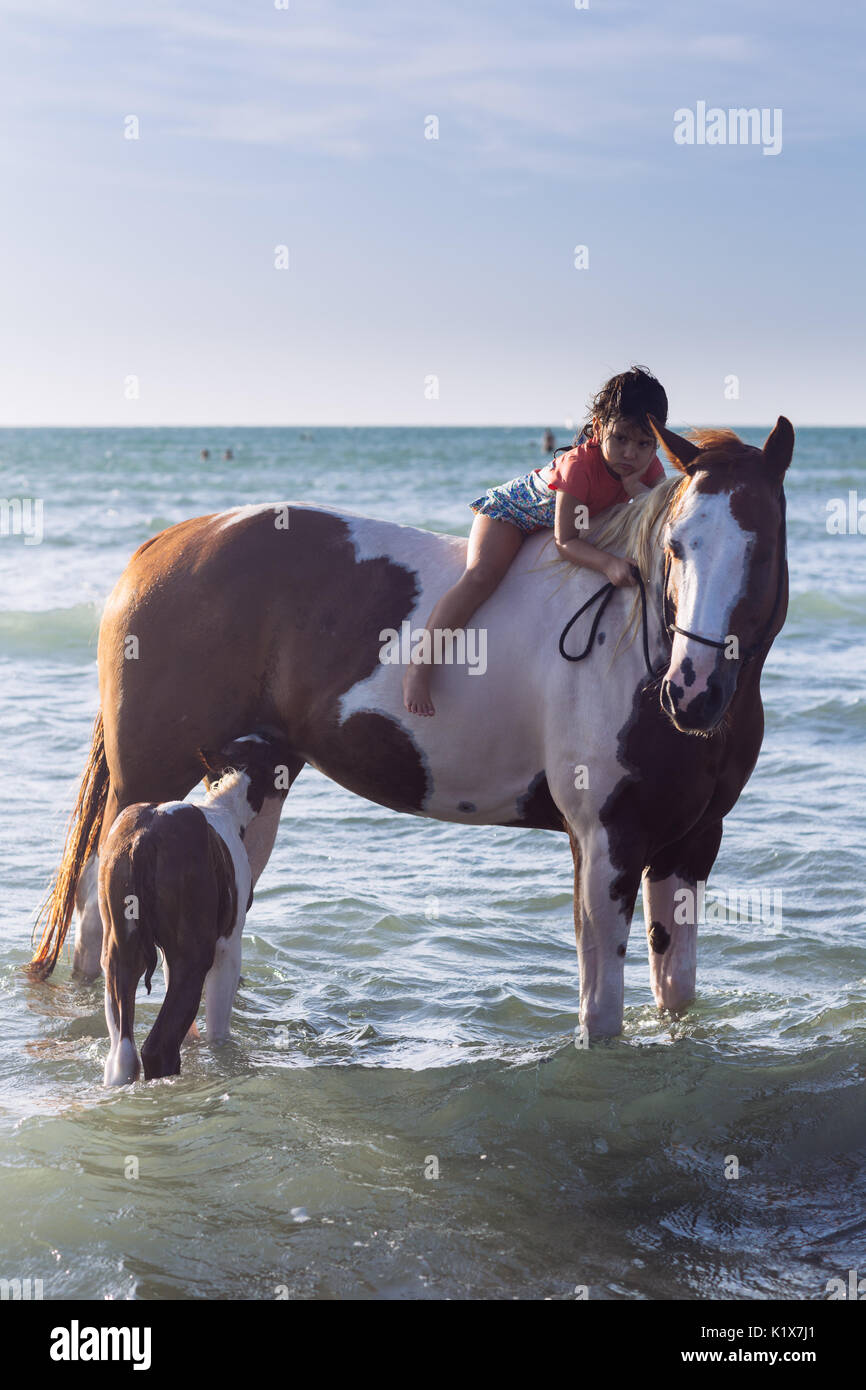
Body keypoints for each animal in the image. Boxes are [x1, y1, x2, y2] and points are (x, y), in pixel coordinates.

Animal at [100, 735, 287, 1084]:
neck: (225, 803)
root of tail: (142, 842)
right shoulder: (228, 947)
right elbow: (218, 1031)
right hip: (194, 955)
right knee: (157, 1047)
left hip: (120, 952)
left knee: (123, 1054)